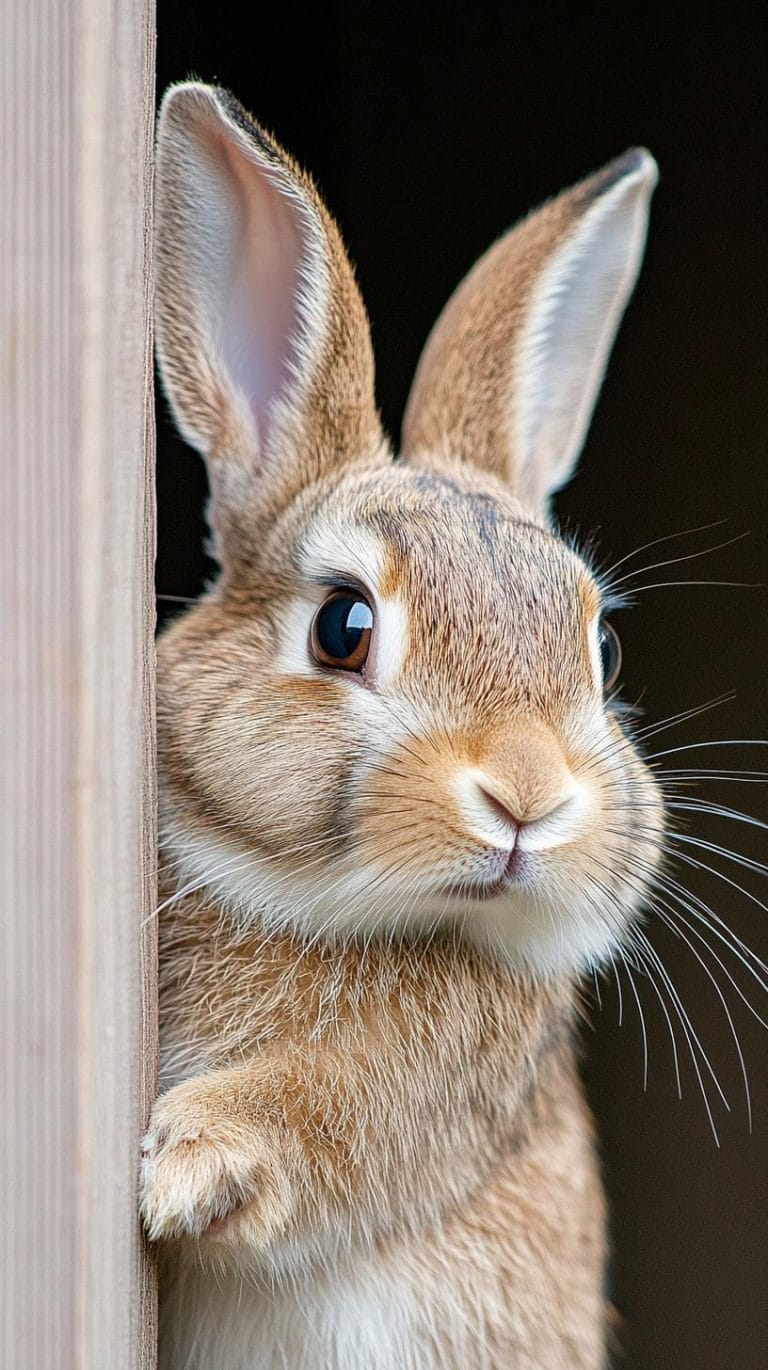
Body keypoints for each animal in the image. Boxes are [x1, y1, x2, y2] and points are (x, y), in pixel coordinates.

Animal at [141, 80, 663, 1370]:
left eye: (601, 652)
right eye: (343, 626)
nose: (528, 794)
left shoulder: (437, 1096)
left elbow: (321, 1114)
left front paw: (188, 1163)